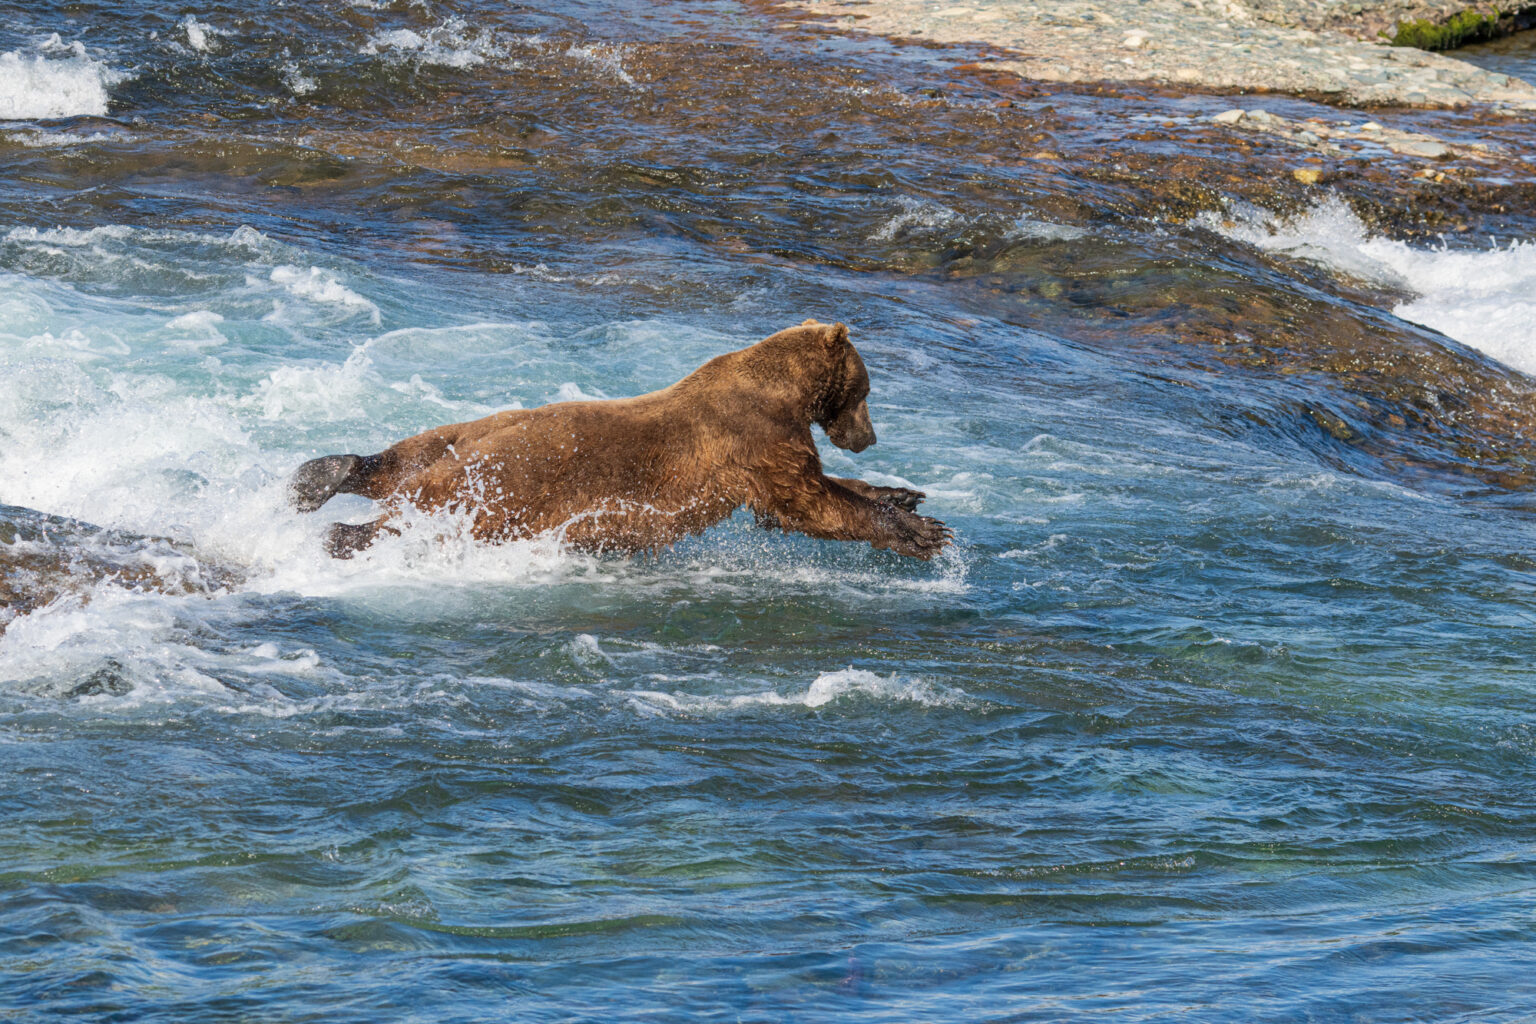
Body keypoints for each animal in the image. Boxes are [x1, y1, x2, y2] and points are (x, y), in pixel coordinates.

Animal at [289, 320, 951, 560]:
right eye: (867, 389)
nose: (869, 437)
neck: (783, 391)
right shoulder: (753, 437)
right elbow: (804, 502)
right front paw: (923, 532)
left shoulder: (772, 442)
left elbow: (814, 488)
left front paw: (904, 494)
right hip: (502, 492)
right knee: (420, 519)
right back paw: (343, 537)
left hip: (461, 437)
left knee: (402, 455)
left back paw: (318, 477)